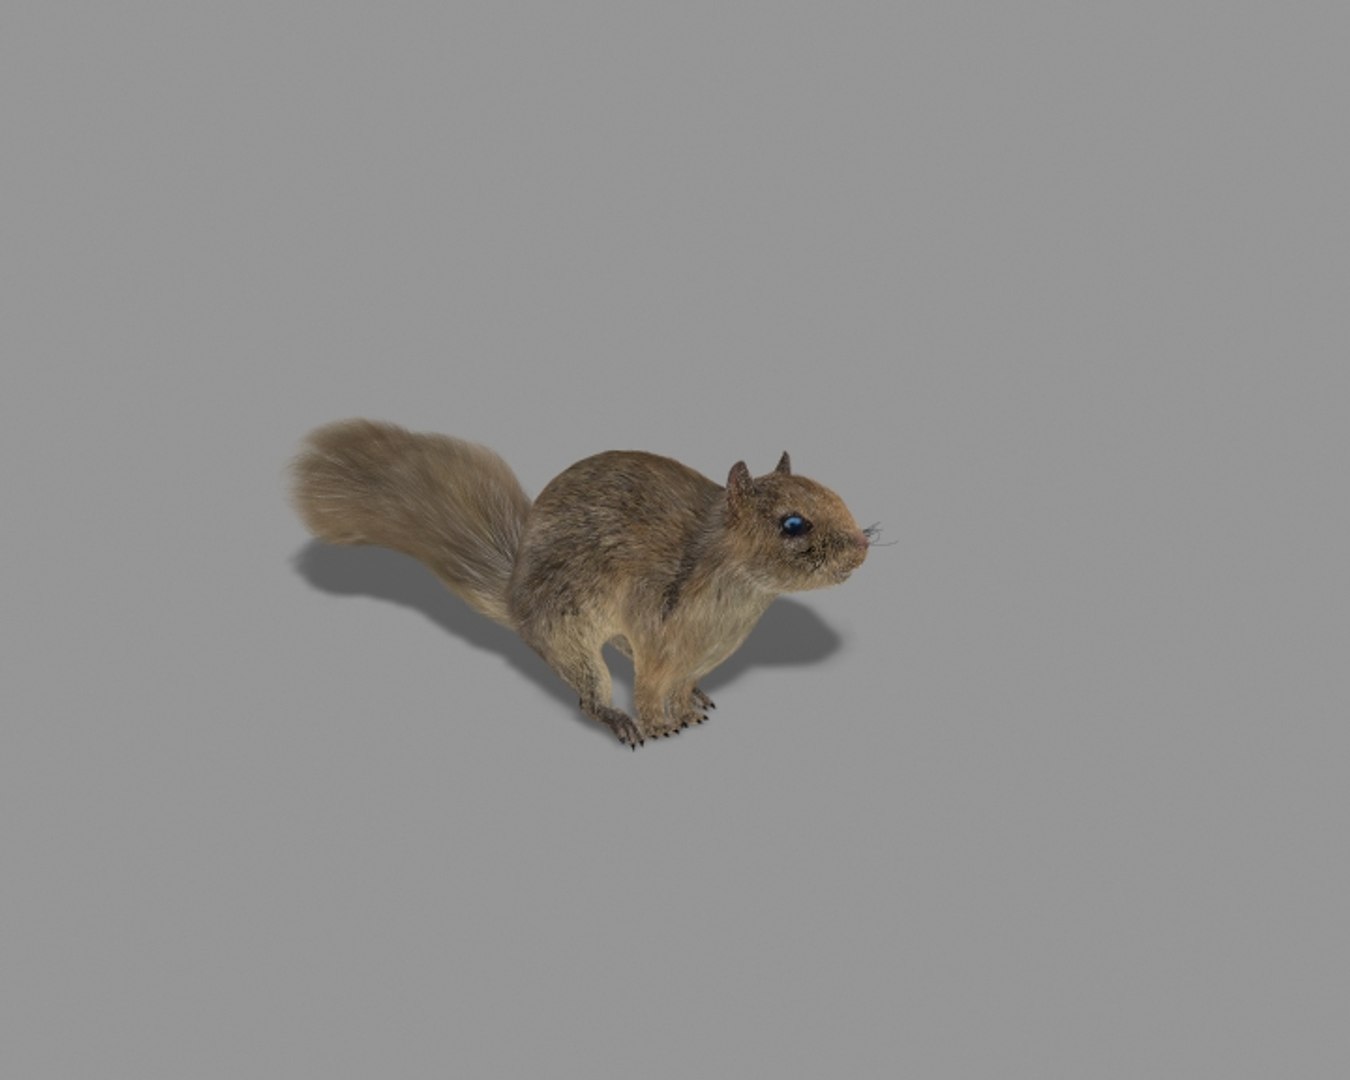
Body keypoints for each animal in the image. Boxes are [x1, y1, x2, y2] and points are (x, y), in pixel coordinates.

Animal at [290, 419, 871, 748]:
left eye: (835, 494)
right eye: (792, 524)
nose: (862, 549)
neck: (739, 601)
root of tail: (515, 597)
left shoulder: (690, 653)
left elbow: (679, 683)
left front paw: (690, 704)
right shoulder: (654, 624)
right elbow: (653, 687)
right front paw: (661, 724)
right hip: (568, 633)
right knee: (589, 695)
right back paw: (618, 718)